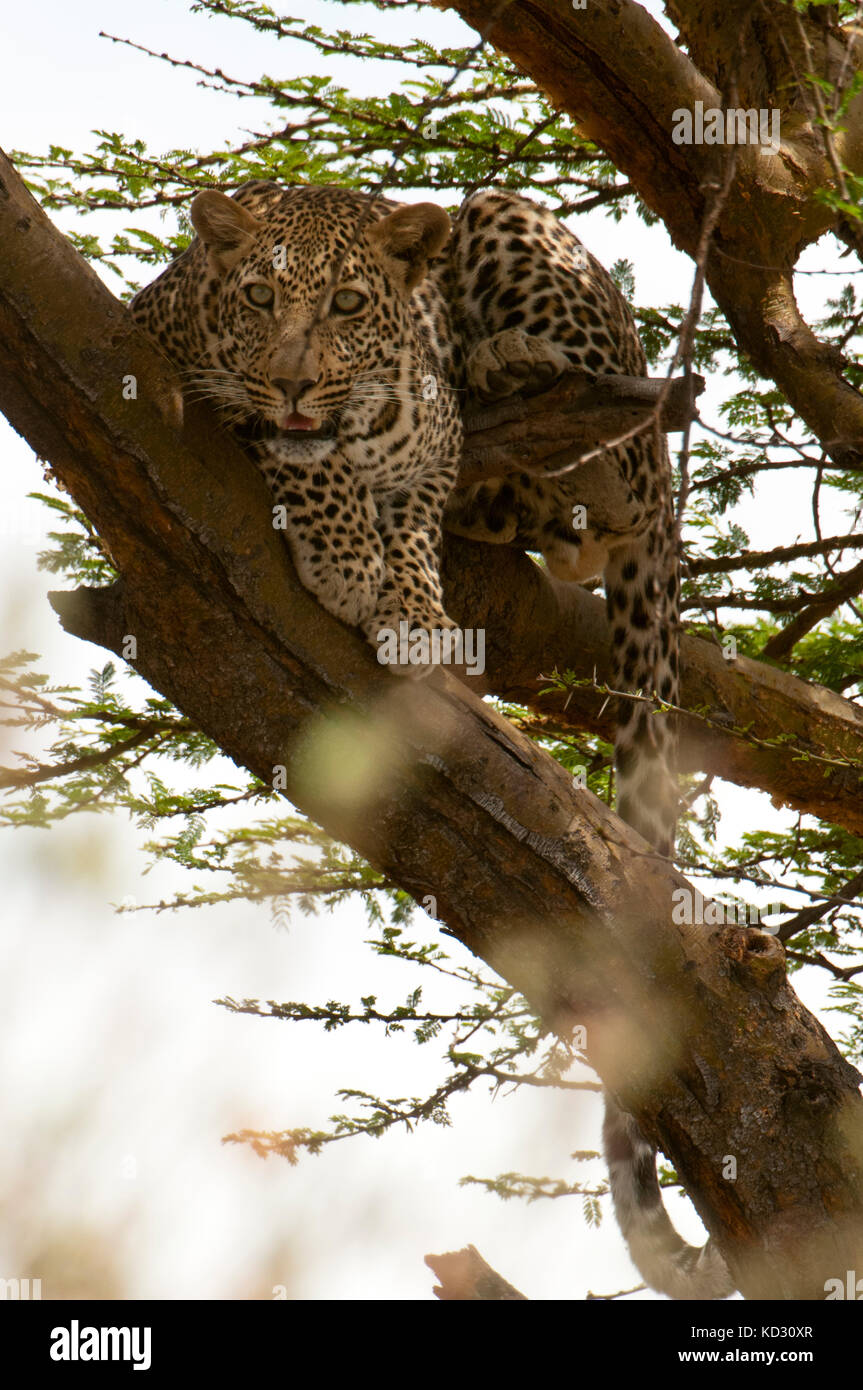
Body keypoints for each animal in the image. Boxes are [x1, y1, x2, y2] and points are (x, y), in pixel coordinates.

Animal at [129, 180, 733, 1299]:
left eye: (345, 305)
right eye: (260, 298)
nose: (294, 380)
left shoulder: (423, 446)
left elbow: (408, 513)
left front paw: (406, 596)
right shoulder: (165, 360)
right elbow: (303, 462)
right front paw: (349, 556)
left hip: (514, 232)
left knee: (603, 504)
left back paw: (515, 377)